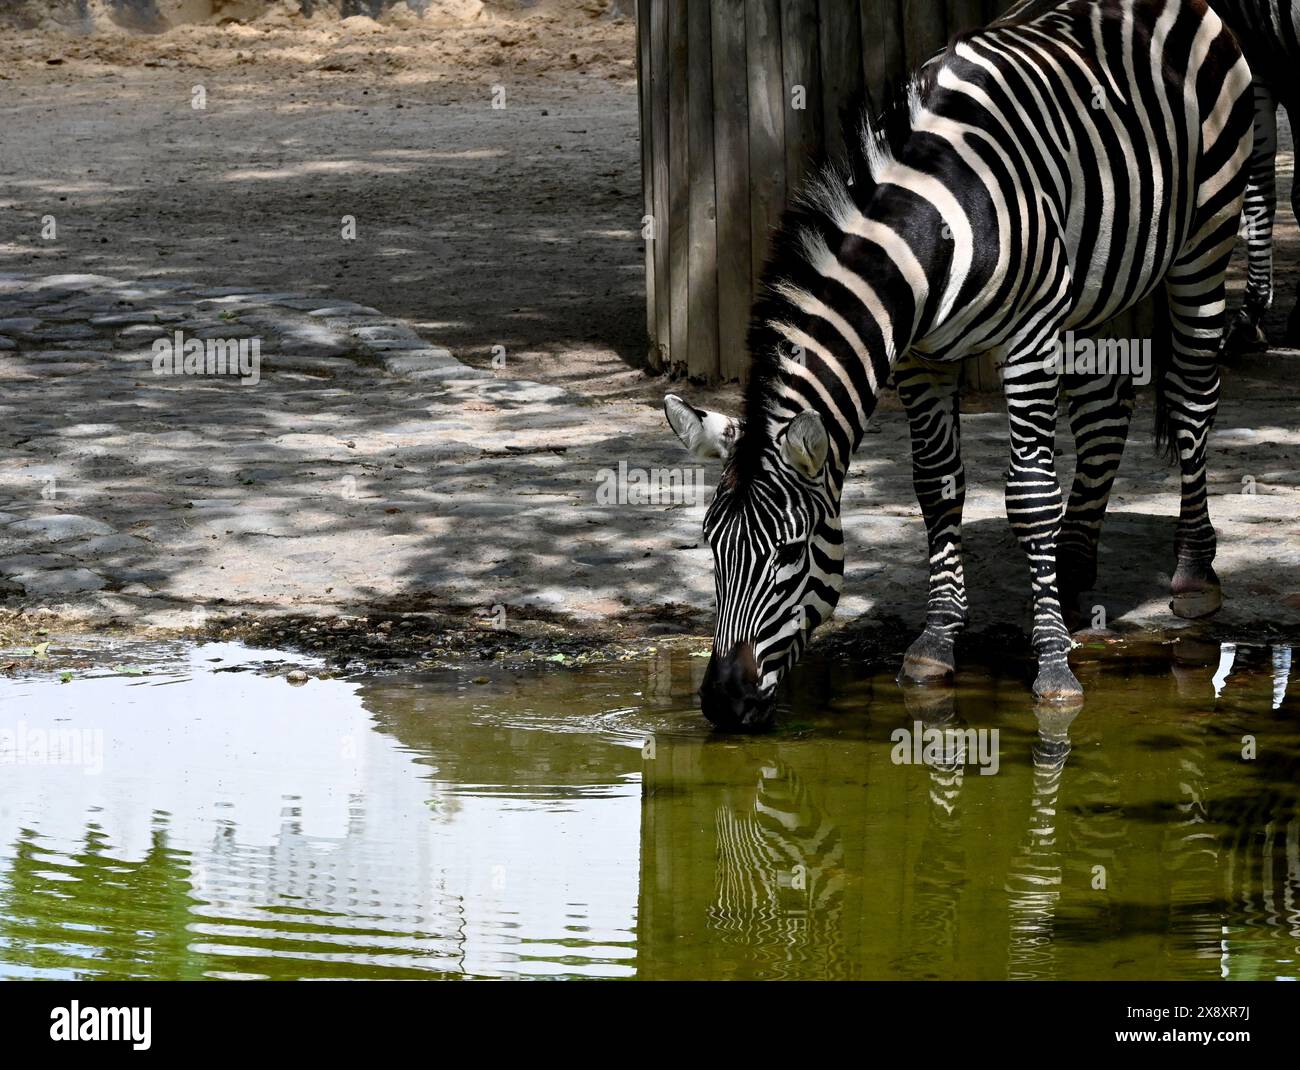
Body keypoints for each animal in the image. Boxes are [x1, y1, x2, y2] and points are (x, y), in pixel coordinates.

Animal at [664, 0, 1255, 731]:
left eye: (790, 554)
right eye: (711, 548)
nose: (723, 702)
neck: (932, 222)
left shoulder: (1030, 334)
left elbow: (1029, 497)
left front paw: (1053, 668)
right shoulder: (920, 356)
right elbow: (936, 486)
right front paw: (937, 641)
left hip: (1205, 237)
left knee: (1194, 395)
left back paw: (1194, 575)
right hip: (1098, 280)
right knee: (1104, 404)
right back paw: (1072, 565)